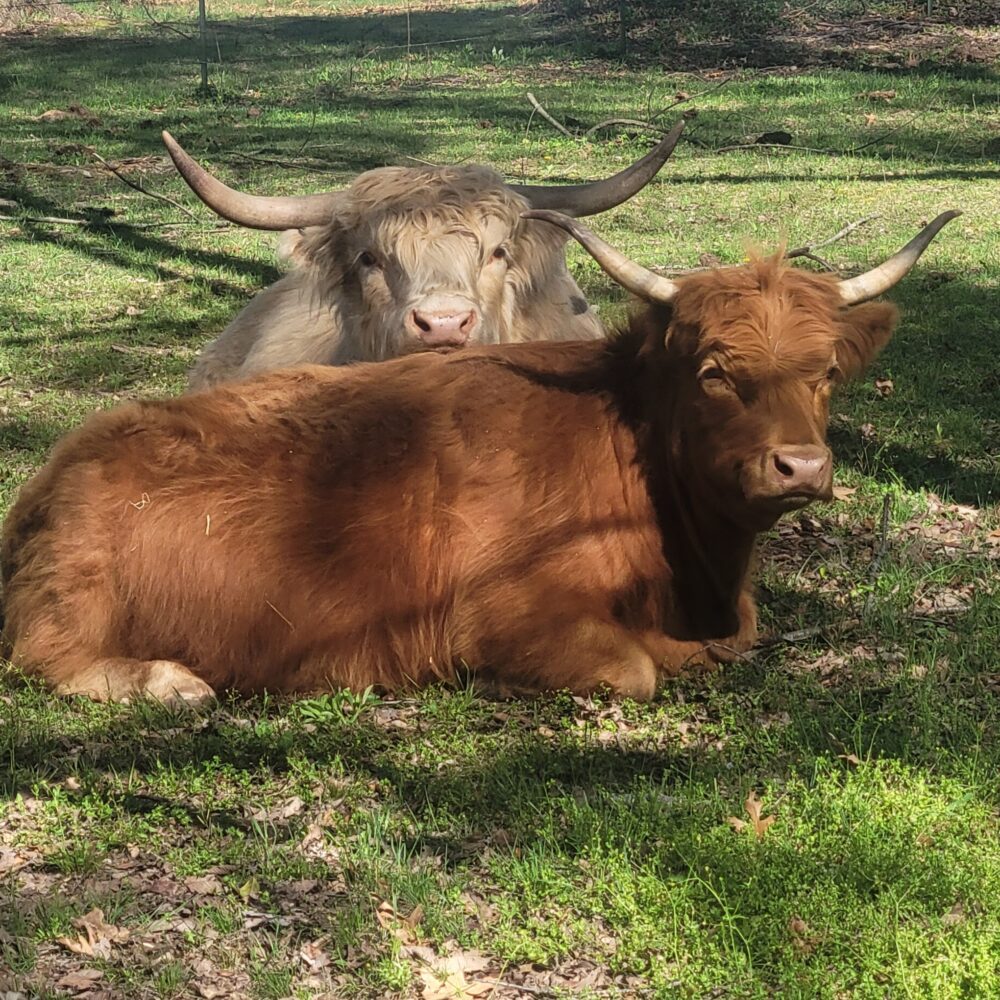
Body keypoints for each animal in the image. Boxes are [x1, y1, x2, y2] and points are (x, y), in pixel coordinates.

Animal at [0, 210, 958, 706]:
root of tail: (57, 469)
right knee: (43, 654)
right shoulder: (504, 614)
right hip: (78, 595)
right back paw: (172, 681)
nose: (800, 468)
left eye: (825, 372)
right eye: (715, 373)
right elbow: (639, 668)